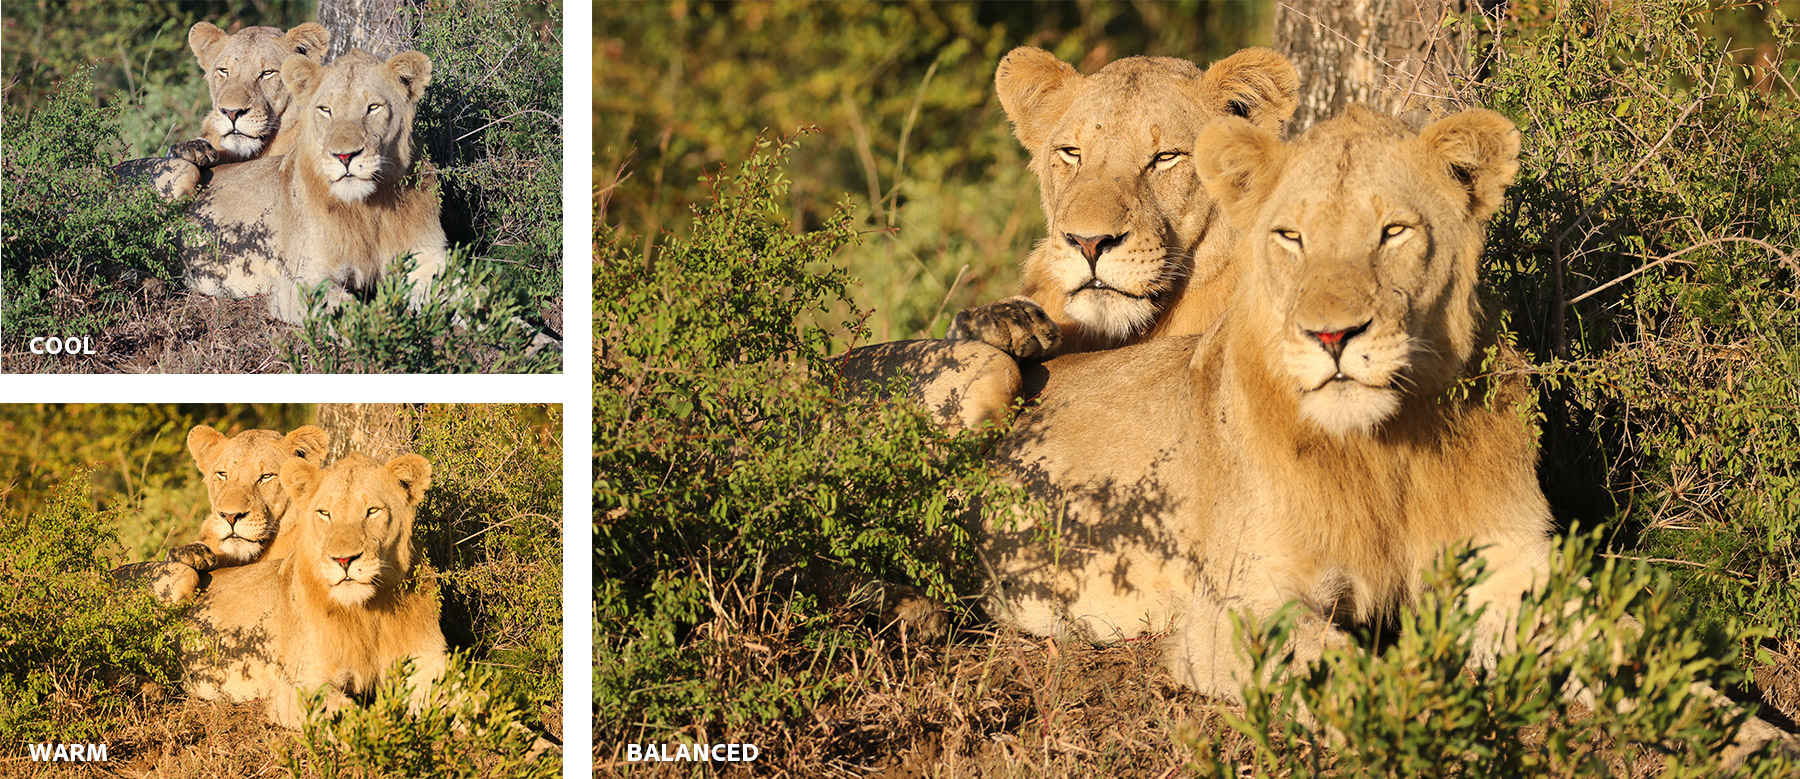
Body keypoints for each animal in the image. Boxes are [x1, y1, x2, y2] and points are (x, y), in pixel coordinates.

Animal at [180, 48, 448, 323]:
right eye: (325, 110)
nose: (344, 156)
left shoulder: (429, 256)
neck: (368, 210)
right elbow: (350, 311)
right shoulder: (298, 282)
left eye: (373, 107)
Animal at [183, 449, 446, 726]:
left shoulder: (428, 662)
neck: (367, 614)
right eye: (324, 513)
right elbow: (350, 716)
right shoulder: (297, 685)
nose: (344, 560)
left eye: (372, 511)